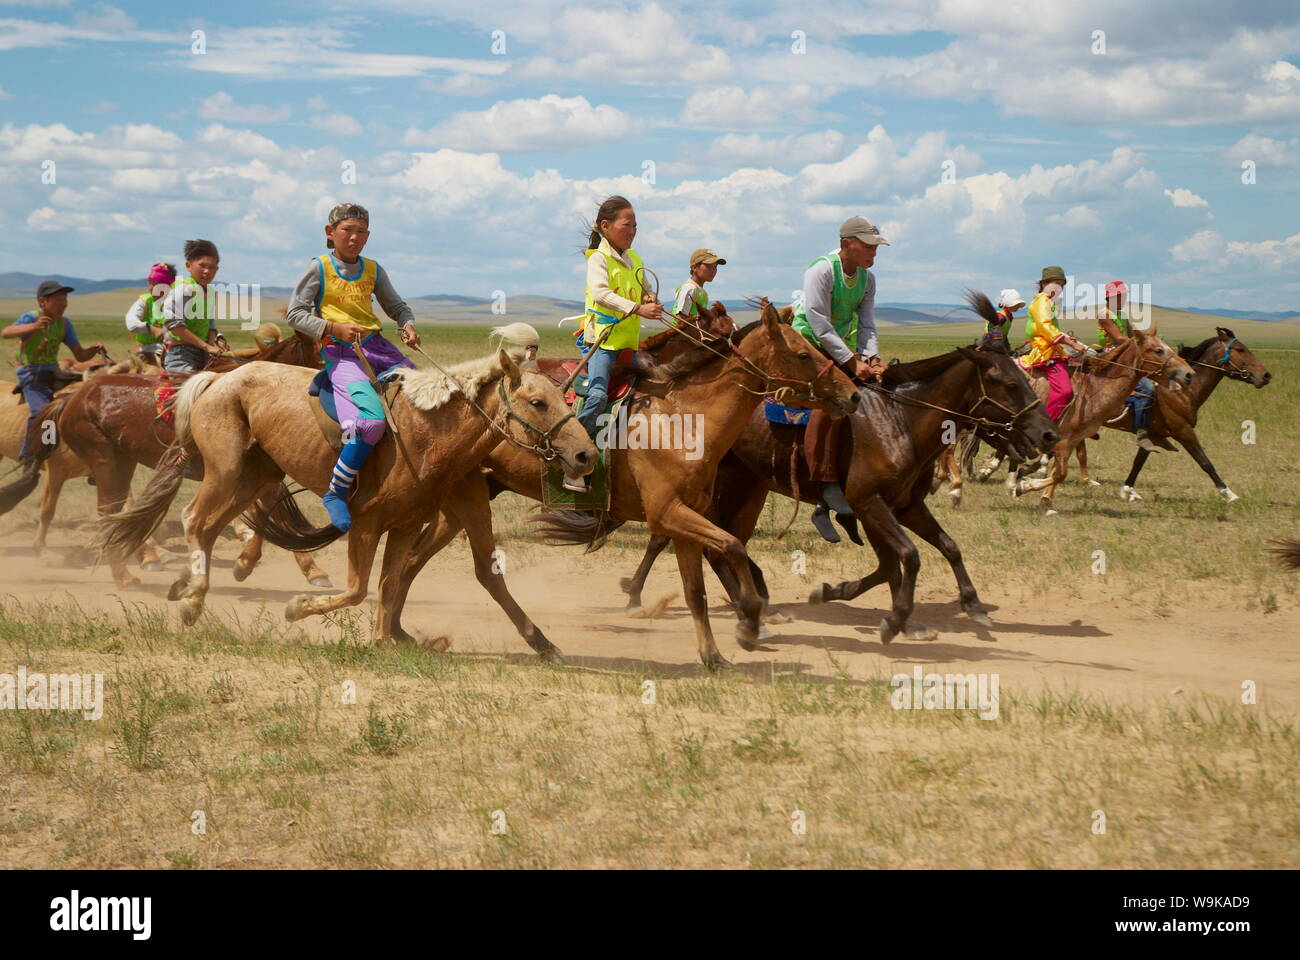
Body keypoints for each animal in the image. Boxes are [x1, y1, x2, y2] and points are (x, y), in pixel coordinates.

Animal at [0, 332, 332, 588]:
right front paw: (250, 563)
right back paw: (126, 572)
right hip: (105, 461)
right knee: (108, 511)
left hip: (122, 462)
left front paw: (301, 568)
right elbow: (274, 514)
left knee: (116, 510)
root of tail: (71, 397)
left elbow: (269, 514)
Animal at [95, 325, 596, 659]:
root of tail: (219, 379)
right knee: (194, 520)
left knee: (210, 526)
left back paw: (186, 586)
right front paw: (298, 608)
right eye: (538, 402)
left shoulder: (406, 525)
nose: (587, 455)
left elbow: (390, 583)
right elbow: (358, 589)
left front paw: (384, 640)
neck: (423, 434)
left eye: (562, 395)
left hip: (255, 478)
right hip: (225, 470)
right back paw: (193, 600)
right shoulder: (367, 525)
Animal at [383, 301, 860, 669]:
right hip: (466, 502)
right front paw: (747, 623)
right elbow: (732, 547)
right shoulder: (669, 513)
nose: (853, 394)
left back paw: (398, 631)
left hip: (460, 504)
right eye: (802, 353)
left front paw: (713, 655)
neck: (682, 419)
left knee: (413, 561)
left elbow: (697, 590)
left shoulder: (684, 519)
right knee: (459, 568)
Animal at [618, 291, 1061, 644]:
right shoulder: (868, 503)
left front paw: (961, 607)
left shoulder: (902, 507)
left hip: (747, 488)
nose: (1048, 434)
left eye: (1024, 379)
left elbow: (936, 551)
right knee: (705, 542)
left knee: (720, 541)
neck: (899, 419)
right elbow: (907, 556)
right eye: (1007, 383)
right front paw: (893, 618)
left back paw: (754, 603)